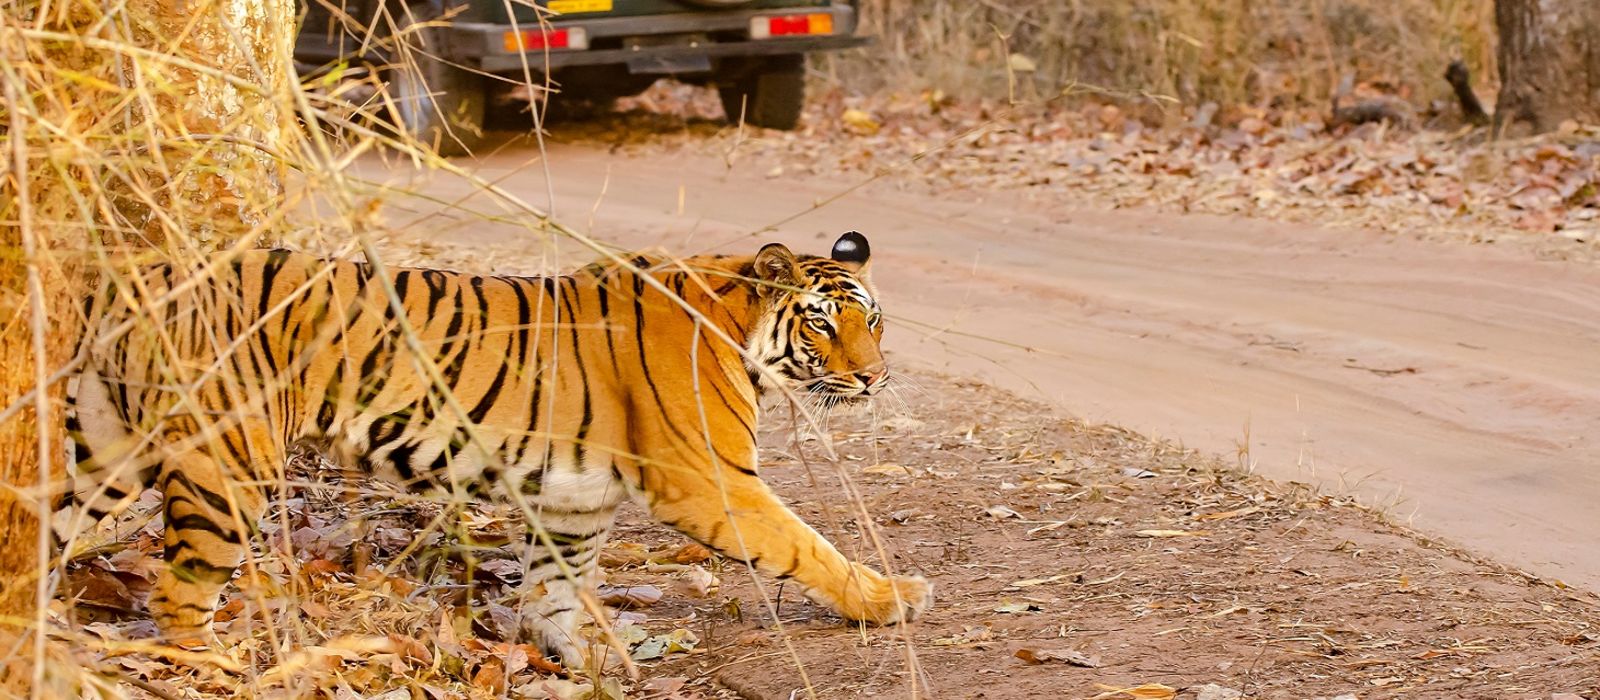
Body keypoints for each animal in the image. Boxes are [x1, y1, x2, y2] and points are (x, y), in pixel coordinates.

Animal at [60, 231, 930, 667]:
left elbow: (557, 593)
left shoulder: (571, 501)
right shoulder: (711, 481)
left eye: (874, 319)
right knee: (178, 599)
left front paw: (591, 659)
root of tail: (134, 277)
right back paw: (219, 666)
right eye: (823, 323)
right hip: (223, 466)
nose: (875, 376)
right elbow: (810, 546)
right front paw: (889, 598)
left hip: (104, 452)